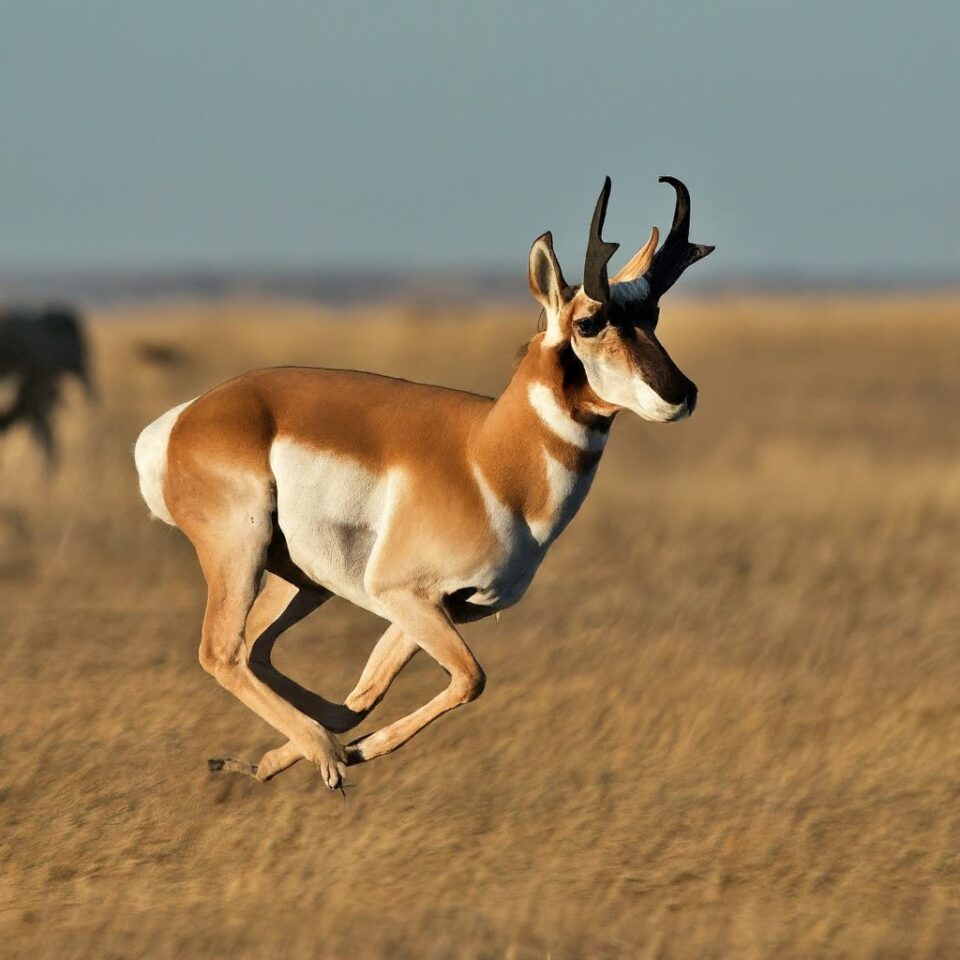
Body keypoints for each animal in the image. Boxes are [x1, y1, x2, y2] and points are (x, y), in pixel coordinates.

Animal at [134, 175, 713, 791]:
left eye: (653, 315)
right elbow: (471, 679)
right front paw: (351, 753)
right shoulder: (404, 595)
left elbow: (372, 691)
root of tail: (190, 416)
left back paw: (282, 754)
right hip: (240, 553)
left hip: (302, 580)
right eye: (589, 323)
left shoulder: (439, 608)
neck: (486, 456)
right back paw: (326, 755)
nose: (680, 394)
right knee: (222, 652)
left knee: (267, 660)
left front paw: (304, 754)